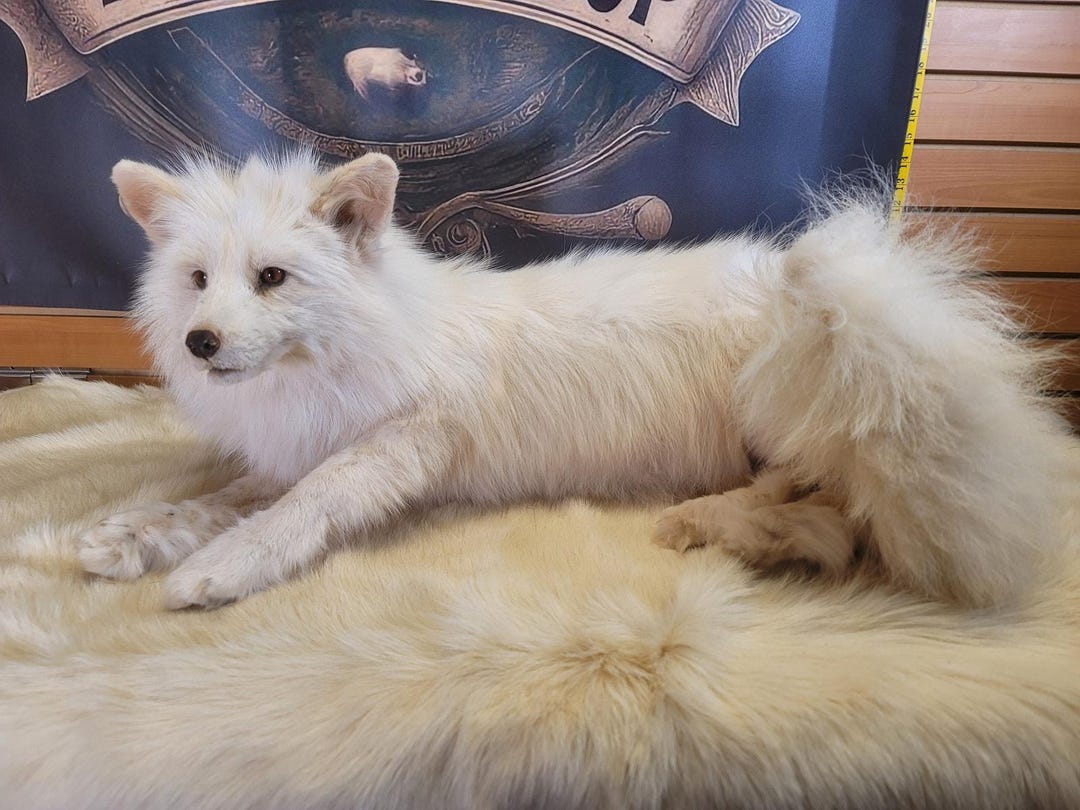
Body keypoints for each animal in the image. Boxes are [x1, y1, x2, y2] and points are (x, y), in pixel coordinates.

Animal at [78, 151, 1071, 610]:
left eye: (273, 277)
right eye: (197, 280)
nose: (201, 342)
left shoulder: (399, 442)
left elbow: (300, 509)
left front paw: (218, 569)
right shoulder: (295, 449)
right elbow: (214, 499)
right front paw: (130, 536)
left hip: (789, 389)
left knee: (826, 502)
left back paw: (720, 525)